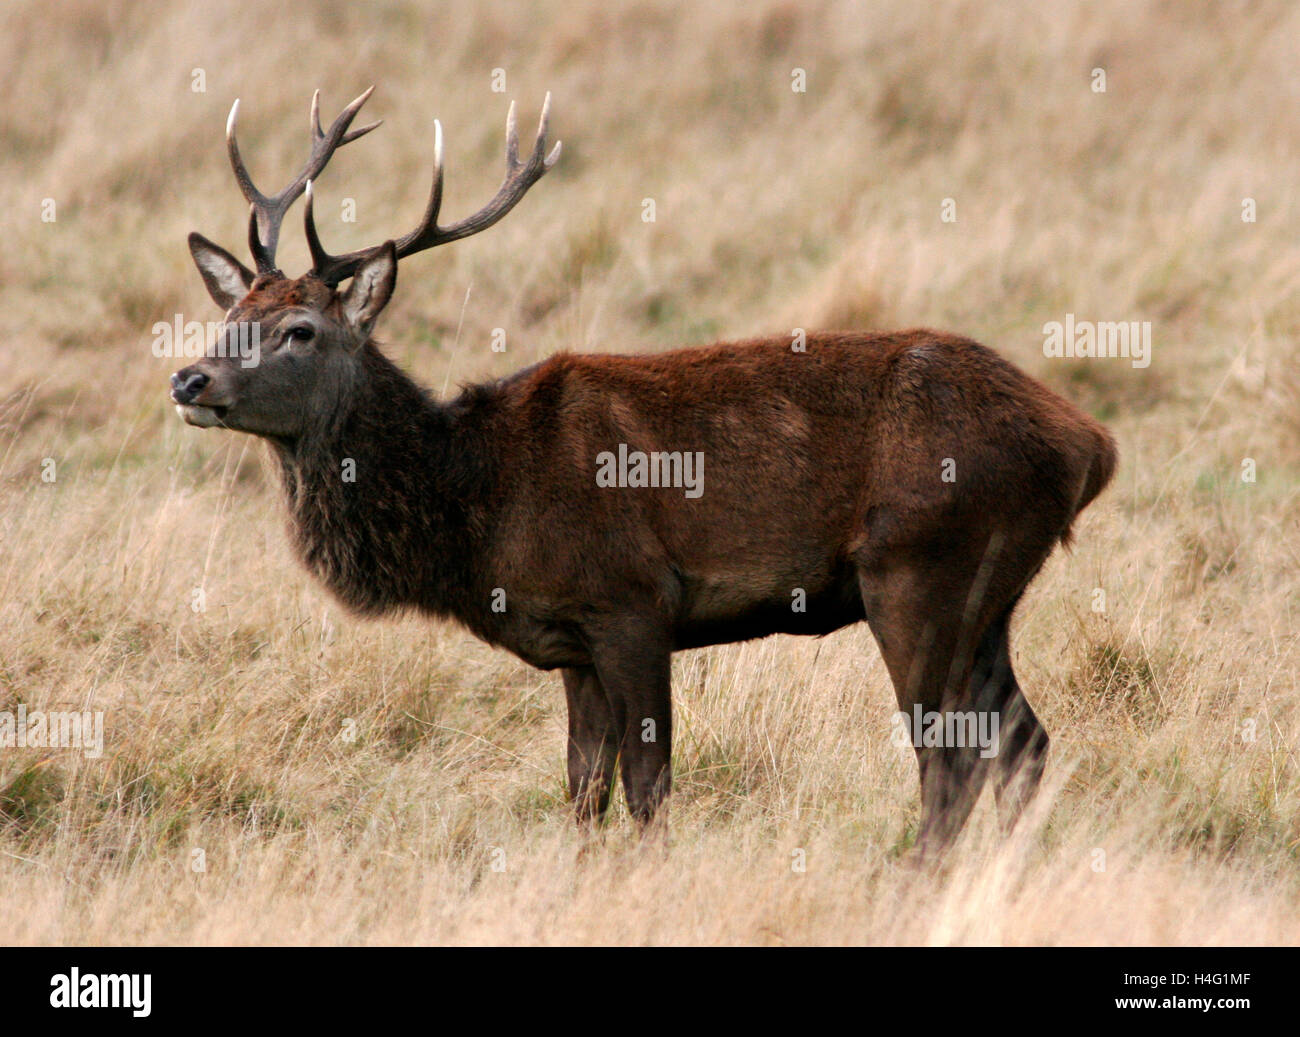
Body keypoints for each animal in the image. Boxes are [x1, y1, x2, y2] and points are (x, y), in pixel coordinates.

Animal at [171, 88, 1117, 857]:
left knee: (949, 757)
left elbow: (648, 782)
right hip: (989, 594)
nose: (190, 379)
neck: (480, 505)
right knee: (1026, 744)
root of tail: (1090, 443)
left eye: (299, 329)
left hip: (919, 565)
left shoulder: (631, 601)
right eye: (228, 314)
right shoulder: (571, 643)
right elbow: (583, 789)